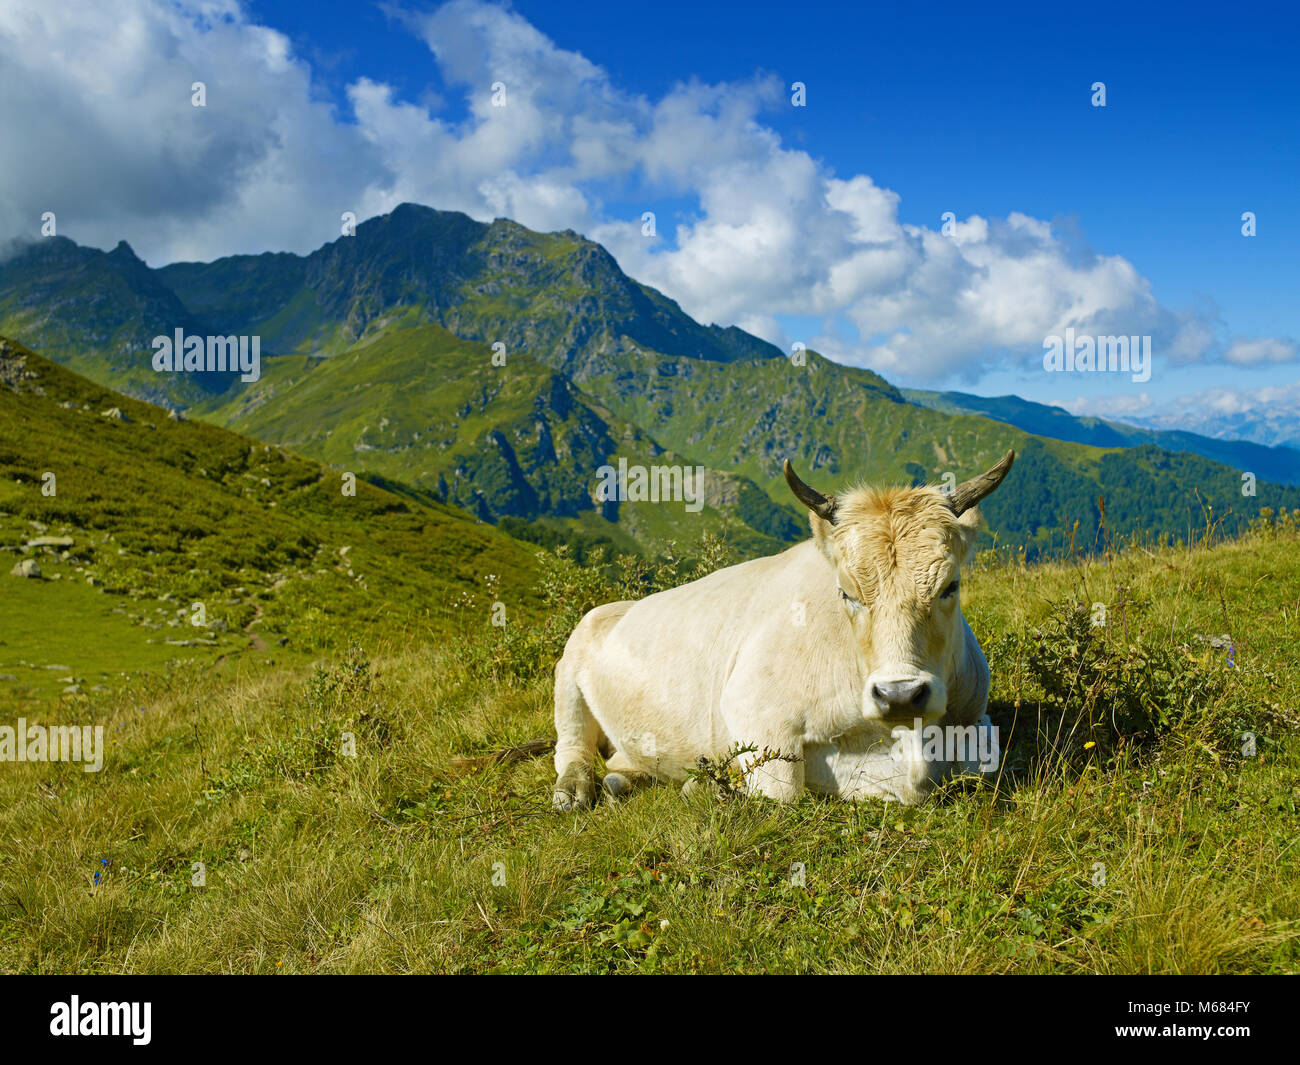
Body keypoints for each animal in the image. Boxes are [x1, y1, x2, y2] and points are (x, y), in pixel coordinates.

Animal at [552, 450, 1015, 808]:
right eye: (846, 592)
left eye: (950, 585)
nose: (899, 694)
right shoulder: (752, 710)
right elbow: (784, 793)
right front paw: (710, 787)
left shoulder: (976, 715)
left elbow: (979, 767)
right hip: (570, 671)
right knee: (571, 748)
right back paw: (574, 791)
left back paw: (623, 779)